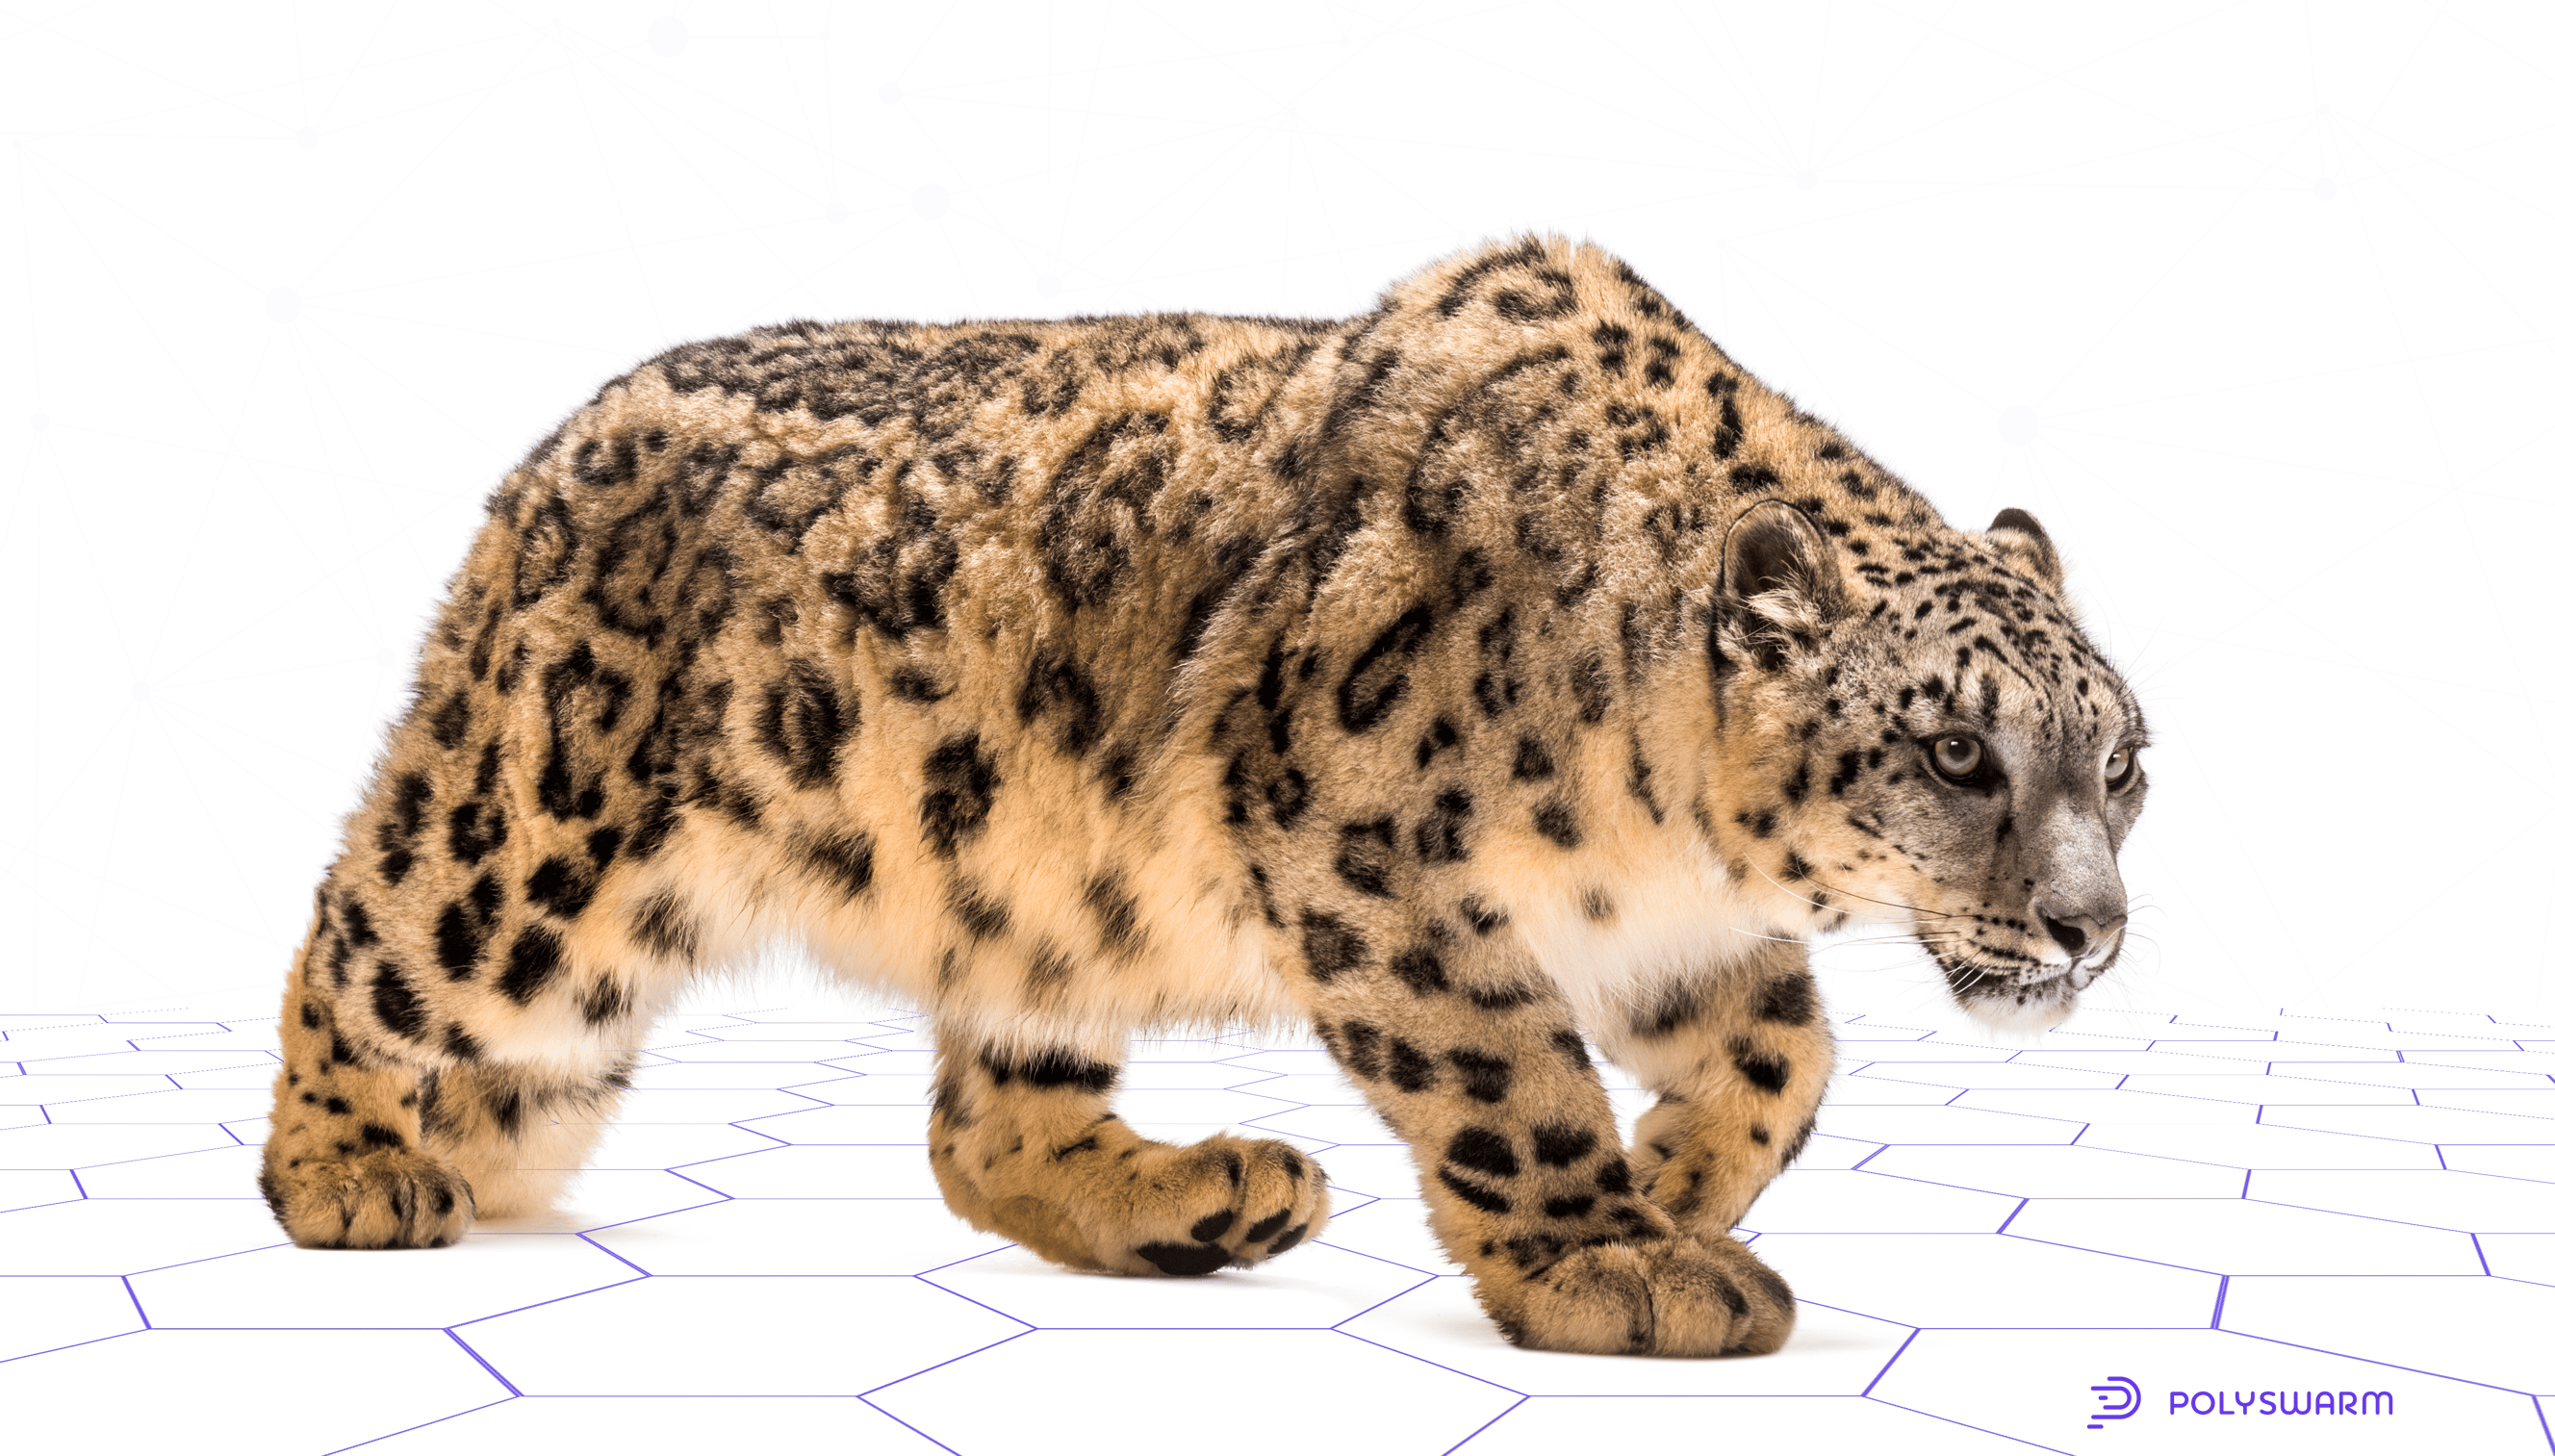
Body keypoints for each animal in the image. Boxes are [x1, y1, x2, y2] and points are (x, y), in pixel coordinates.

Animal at [258, 235, 2147, 1358]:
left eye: (2123, 761)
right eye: (1957, 751)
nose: (2089, 927)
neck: (1665, 845)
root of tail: (552, 457)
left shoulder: (1661, 918)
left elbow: (1783, 1051)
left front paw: (1672, 1184)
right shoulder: (1373, 849)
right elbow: (1510, 1071)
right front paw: (1615, 1258)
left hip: (1028, 900)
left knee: (983, 1122)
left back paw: (1204, 1196)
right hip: (529, 849)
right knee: (365, 937)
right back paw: (351, 1172)